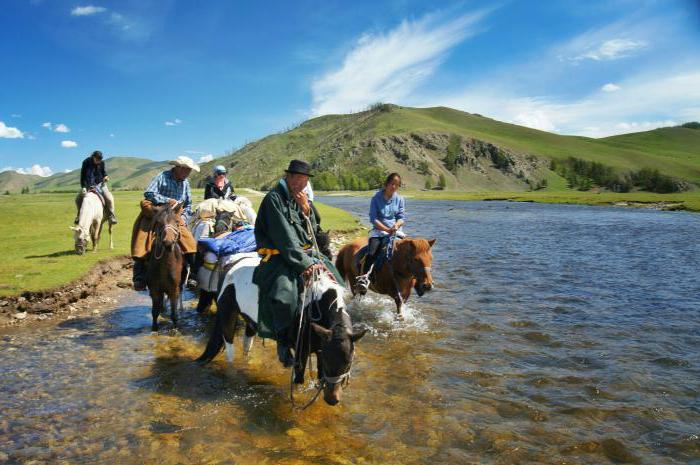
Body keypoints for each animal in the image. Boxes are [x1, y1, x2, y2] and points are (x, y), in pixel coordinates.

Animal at [194, 254, 364, 406]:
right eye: (329, 361)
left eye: (349, 363)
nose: (332, 400)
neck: (315, 306)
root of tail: (230, 265)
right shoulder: (301, 352)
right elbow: (298, 380)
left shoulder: (321, 348)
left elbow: (320, 377)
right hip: (227, 316)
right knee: (230, 352)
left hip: (250, 322)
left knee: (246, 346)